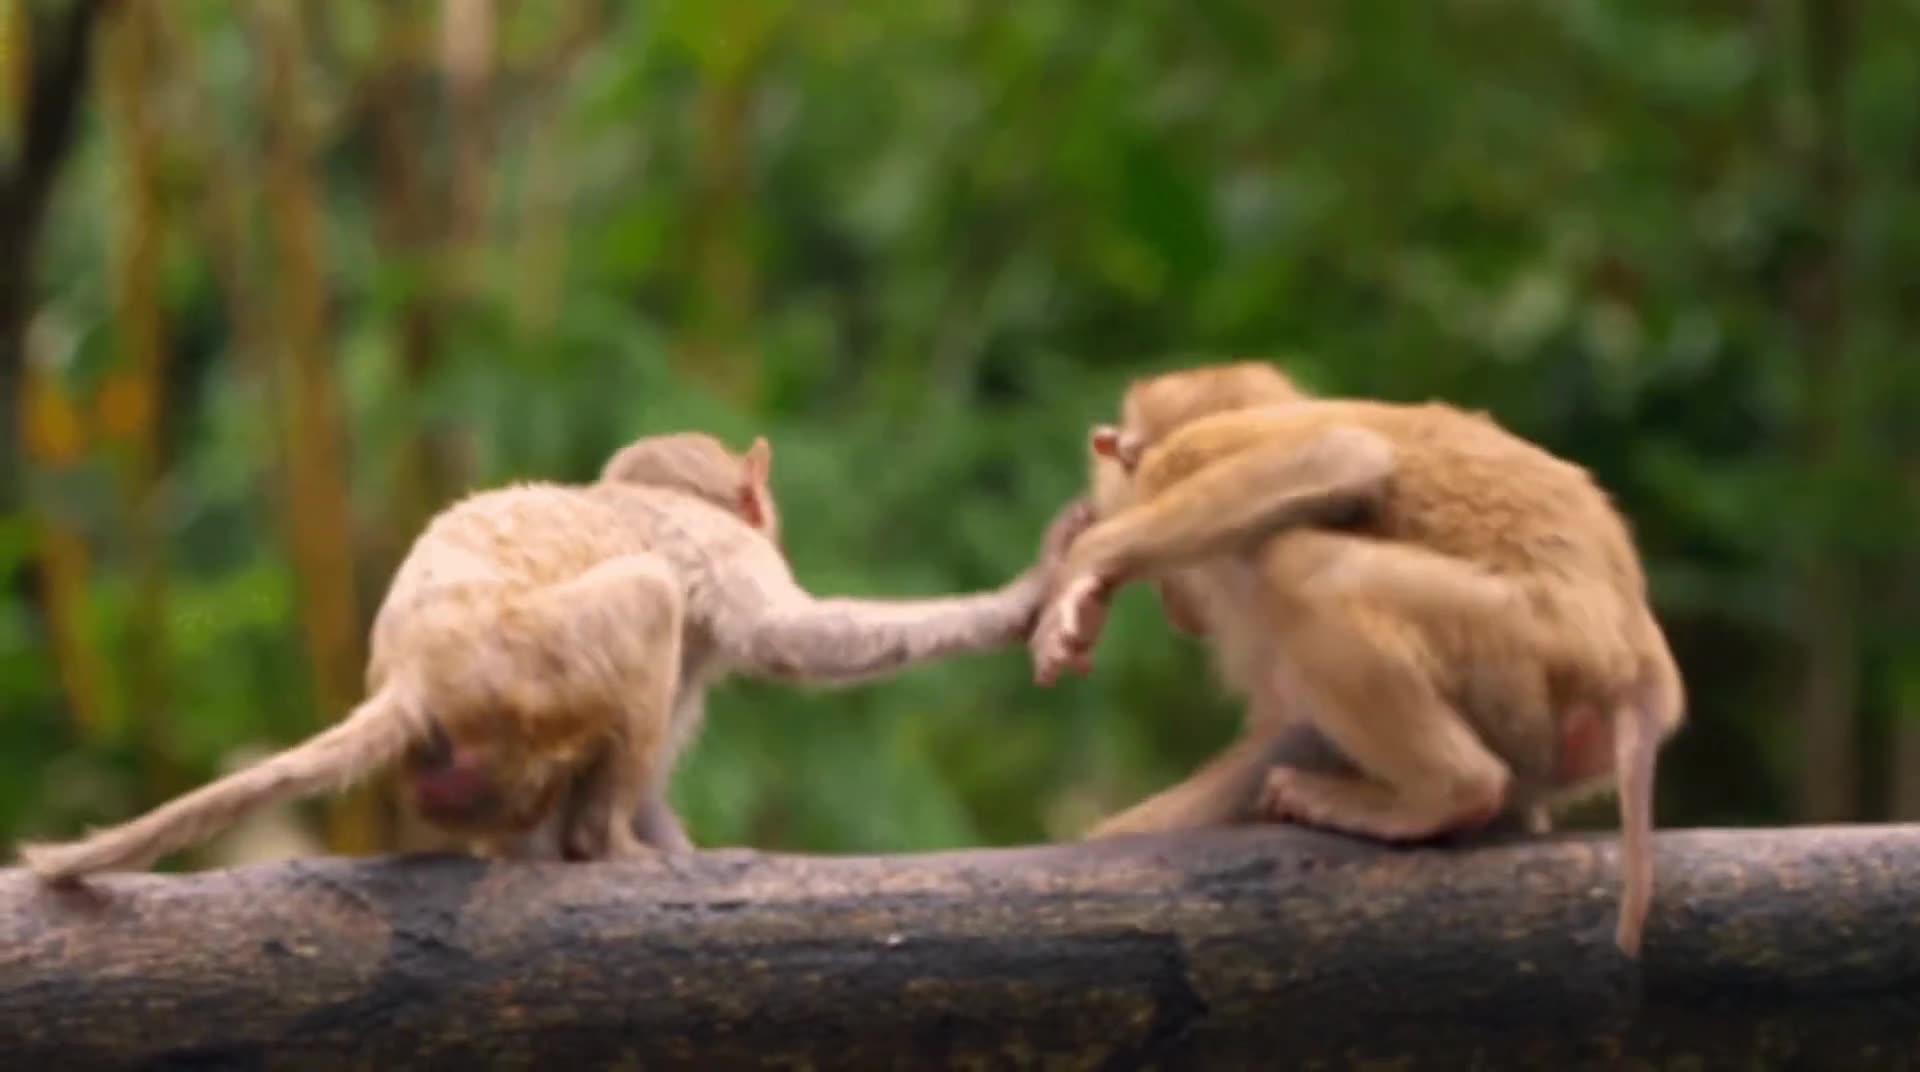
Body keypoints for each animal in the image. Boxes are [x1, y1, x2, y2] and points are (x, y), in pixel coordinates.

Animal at [19, 431, 1094, 881]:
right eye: (757, 505)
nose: (773, 514)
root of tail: (411, 676)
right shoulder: (720, 553)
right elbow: (793, 639)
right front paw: (1026, 595)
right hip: (526, 667)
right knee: (646, 600)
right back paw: (598, 848)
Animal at [1030, 362, 1685, 958]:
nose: (1177, 608)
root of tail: (1639, 670)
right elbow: (1294, 732)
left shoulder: (1186, 458)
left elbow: (1342, 458)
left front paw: (1088, 560)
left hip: (1516, 645)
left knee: (1307, 571)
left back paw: (1450, 793)